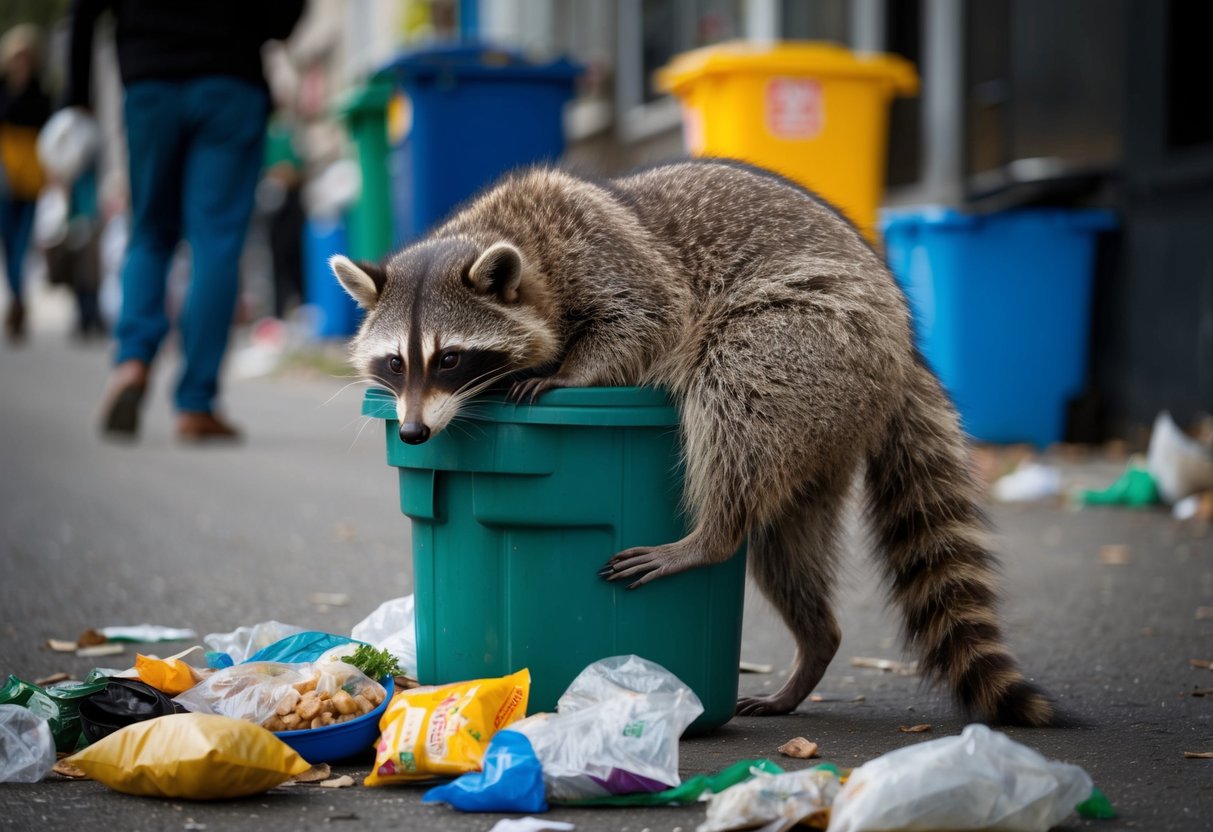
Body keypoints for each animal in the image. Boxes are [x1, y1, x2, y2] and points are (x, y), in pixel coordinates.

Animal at [331, 159, 1053, 726]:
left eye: (450, 359)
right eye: (396, 362)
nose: (415, 432)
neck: (515, 237)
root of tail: (904, 349)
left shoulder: (605, 256)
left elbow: (651, 320)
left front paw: (568, 372)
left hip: (816, 337)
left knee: (732, 386)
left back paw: (713, 536)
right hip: (827, 418)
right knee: (786, 547)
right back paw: (814, 641)